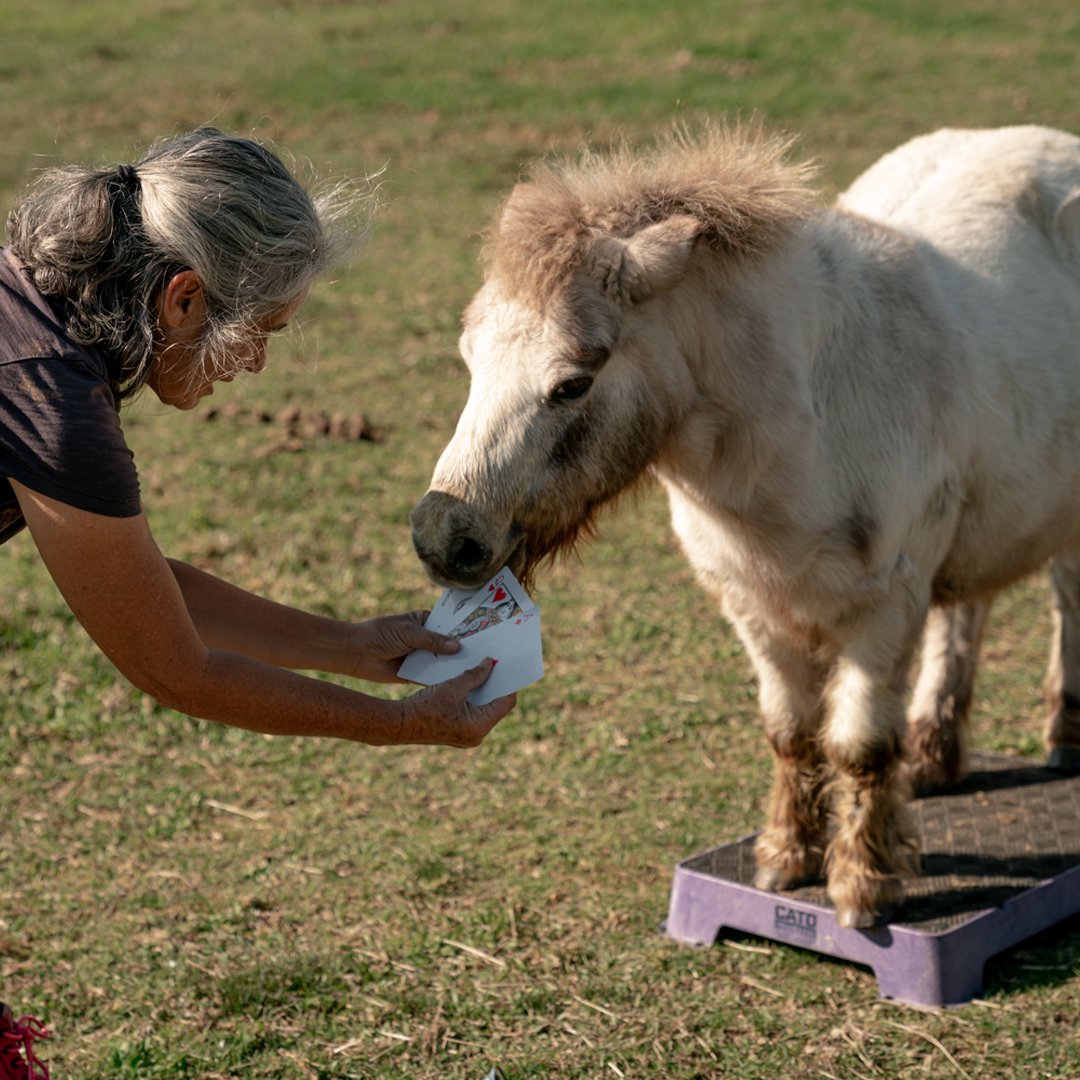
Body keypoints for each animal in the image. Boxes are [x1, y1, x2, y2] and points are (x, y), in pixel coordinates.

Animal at [409, 123, 1080, 927]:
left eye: (572, 383)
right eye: (469, 358)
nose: (442, 537)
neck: (803, 421)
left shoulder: (886, 606)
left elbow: (857, 745)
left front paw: (863, 884)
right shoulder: (751, 603)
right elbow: (790, 732)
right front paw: (786, 858)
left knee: (1067, 598)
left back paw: (1066, 736)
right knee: (967, 611)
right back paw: (936, 753)